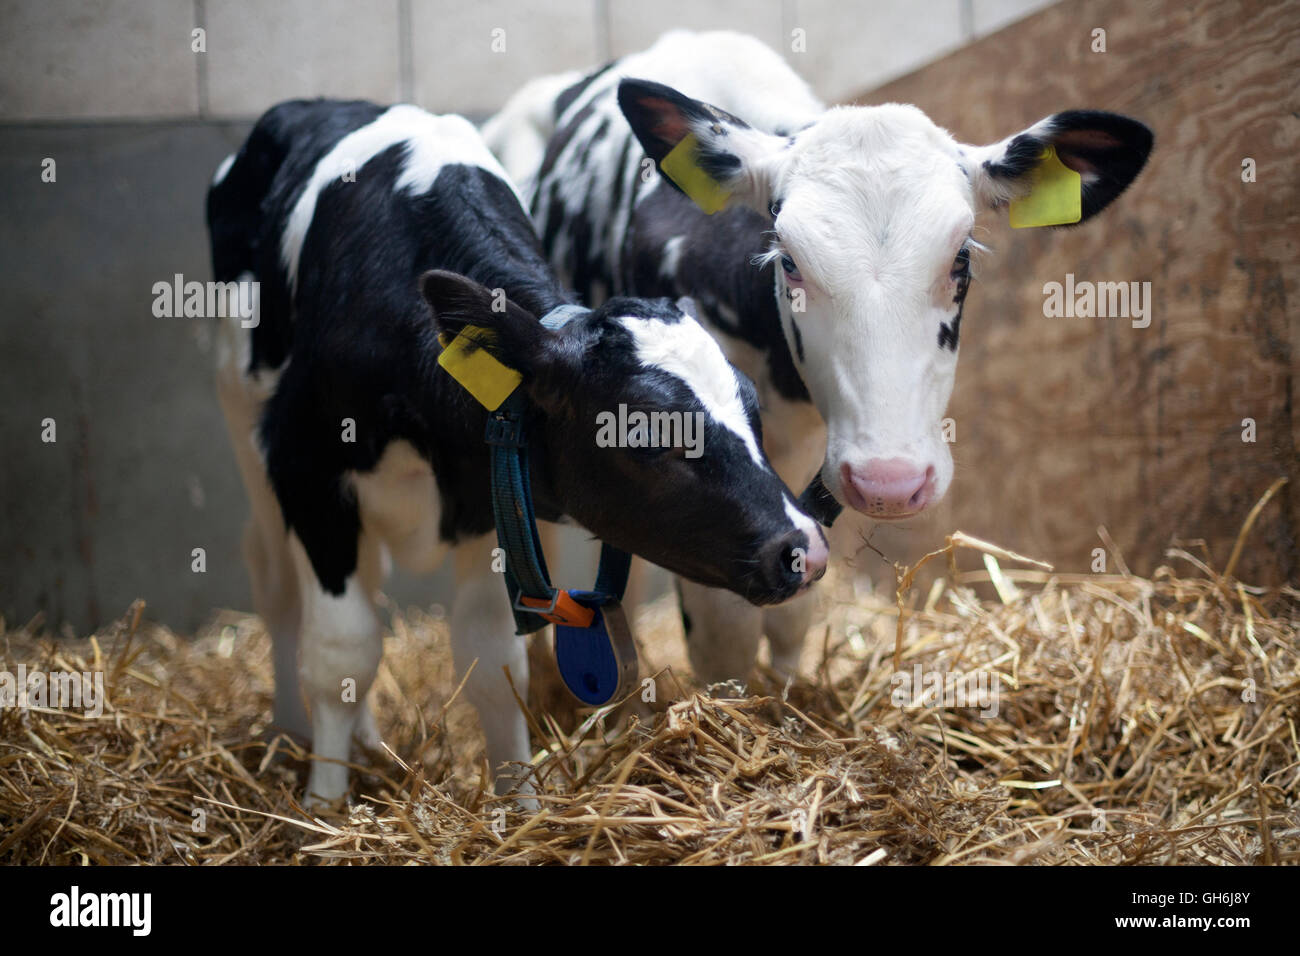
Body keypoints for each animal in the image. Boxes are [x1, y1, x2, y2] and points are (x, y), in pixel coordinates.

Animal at [206, 98, 827, 806]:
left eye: (751, 407)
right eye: (648, 433)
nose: (805, 548)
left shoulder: (490, 494)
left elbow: (492, 663)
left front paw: (518, 802)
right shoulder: (306, 468)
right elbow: (343, 650)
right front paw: (325, 807)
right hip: (245, 430)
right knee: (277, 582)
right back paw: (289, 734)